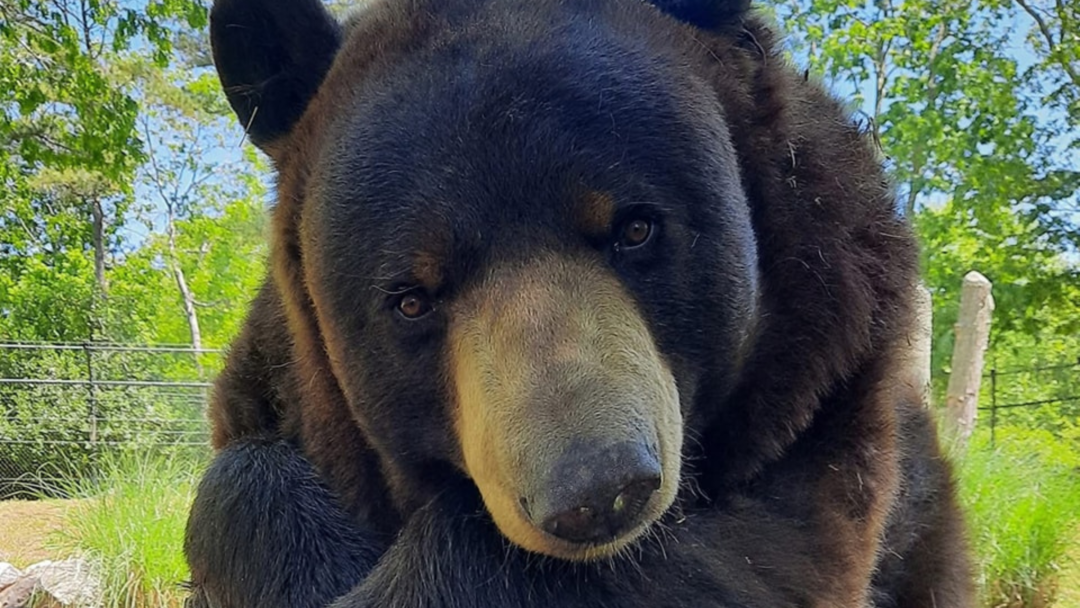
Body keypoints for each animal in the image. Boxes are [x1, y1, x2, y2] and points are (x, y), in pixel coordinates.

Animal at [183, 0, 976, 606]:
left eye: (636, 227)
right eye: (410, 299)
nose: (599, 492)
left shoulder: (824, 389)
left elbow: (757, 561)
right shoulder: (280, 381)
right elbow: (246, 476)